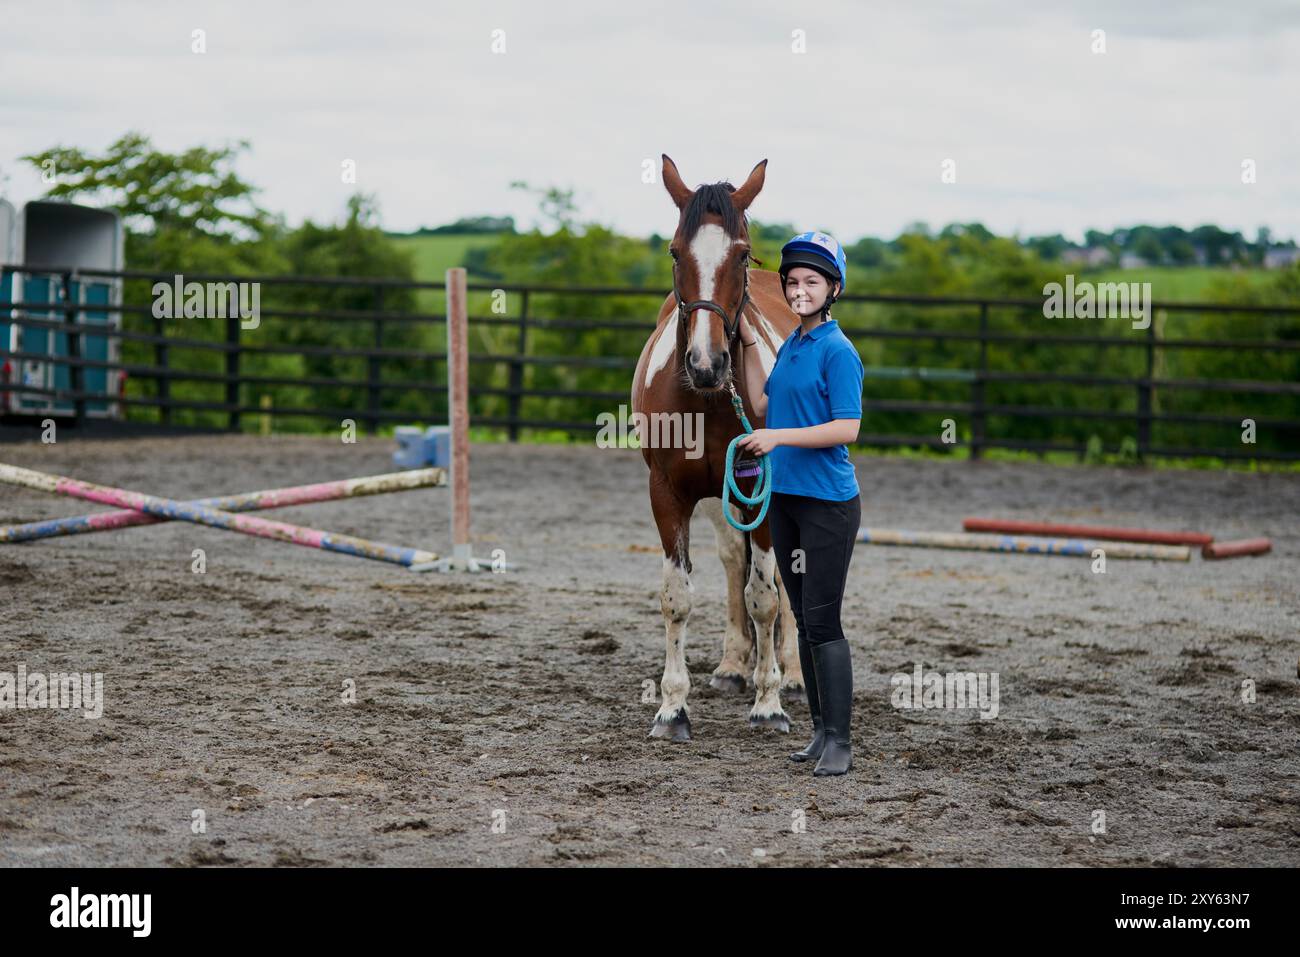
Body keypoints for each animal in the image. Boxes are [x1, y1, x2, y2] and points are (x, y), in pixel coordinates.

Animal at [630, 154, 803, 741]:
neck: (706, 398)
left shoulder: (764, 492)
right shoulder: (668, 495)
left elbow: (766, 596)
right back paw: (733, 666)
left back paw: (791, 673)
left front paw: (770, 702)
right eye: (674, 251)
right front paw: (672, 708)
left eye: (742, 254)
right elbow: (678, 598)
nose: (707, 364)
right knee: (732, 559)